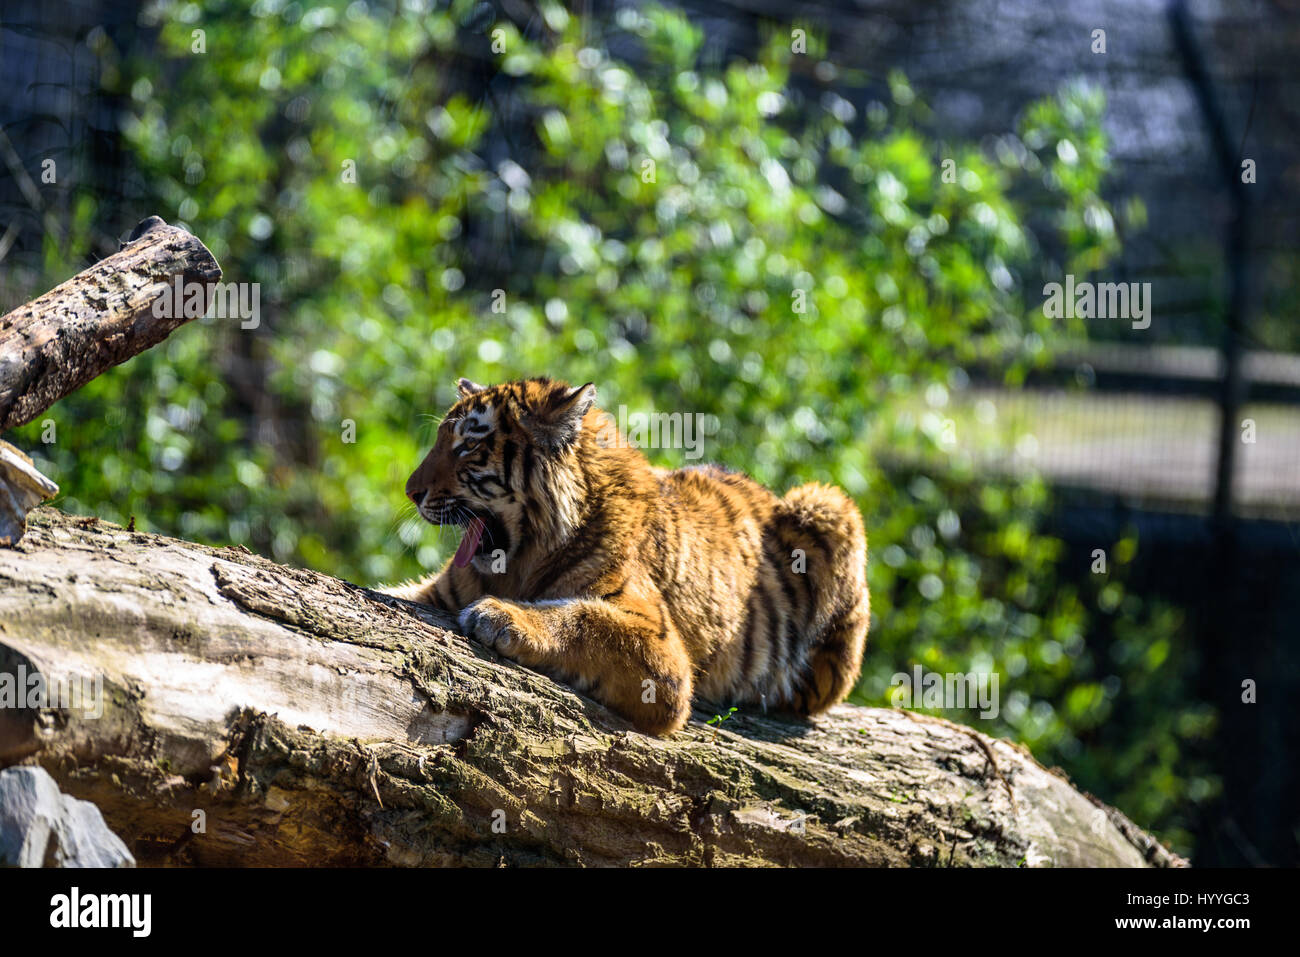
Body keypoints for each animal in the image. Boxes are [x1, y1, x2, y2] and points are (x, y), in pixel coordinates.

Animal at [381, 377, 869, 736]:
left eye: (467, 445)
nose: (410, 491)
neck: (517, 562)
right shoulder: (434, 593)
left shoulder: (660, 649)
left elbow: (586, 620)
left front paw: (501, 616)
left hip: (828, 505)